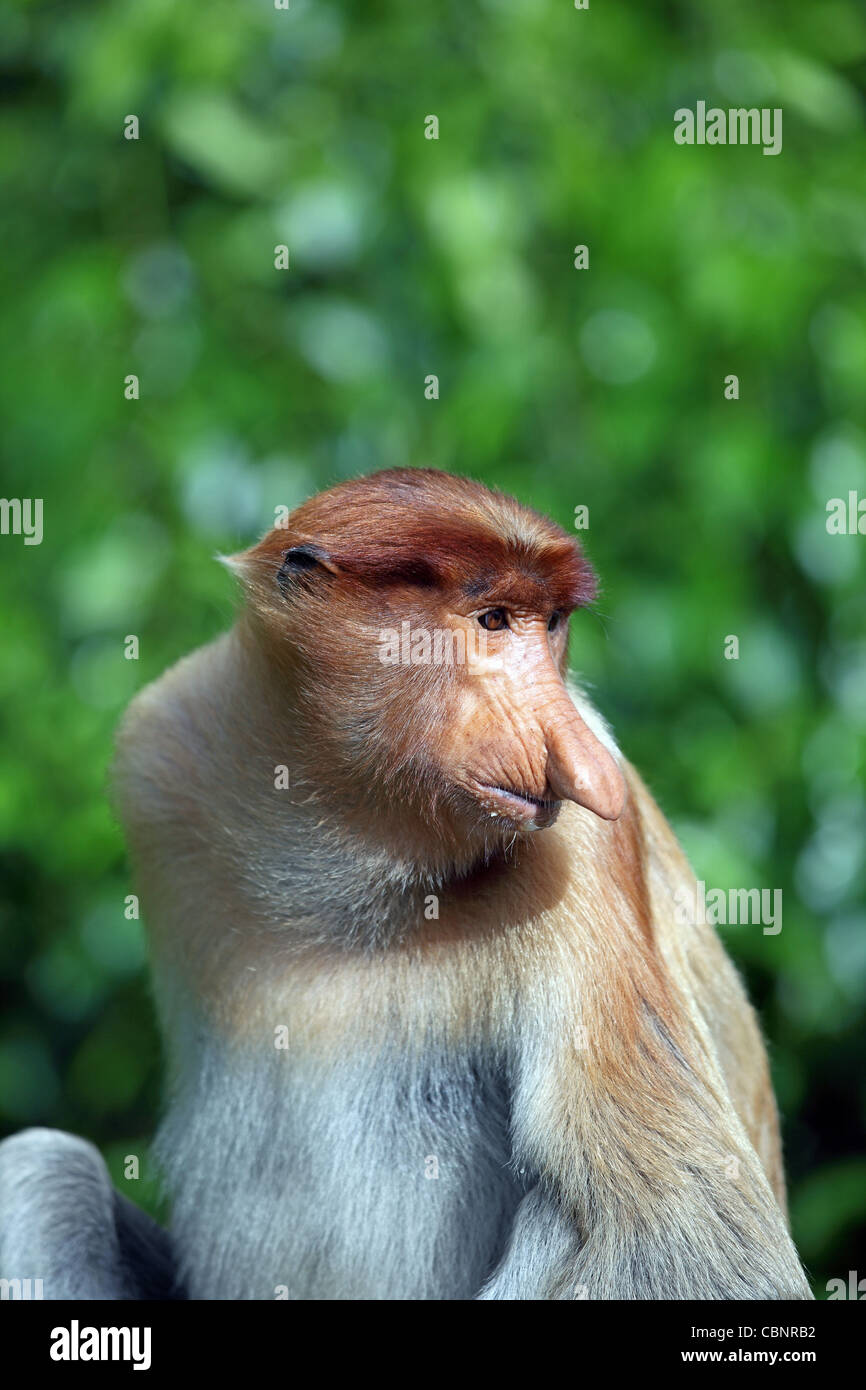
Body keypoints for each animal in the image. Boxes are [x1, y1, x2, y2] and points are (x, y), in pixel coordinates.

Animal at [0, 468, 811, 1299]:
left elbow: (694, 1245)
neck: (348, 851)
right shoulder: (162, 746)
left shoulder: (583, 850)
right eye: (494, 619)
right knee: (42, 1169)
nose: (579, 759)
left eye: (550, 624)